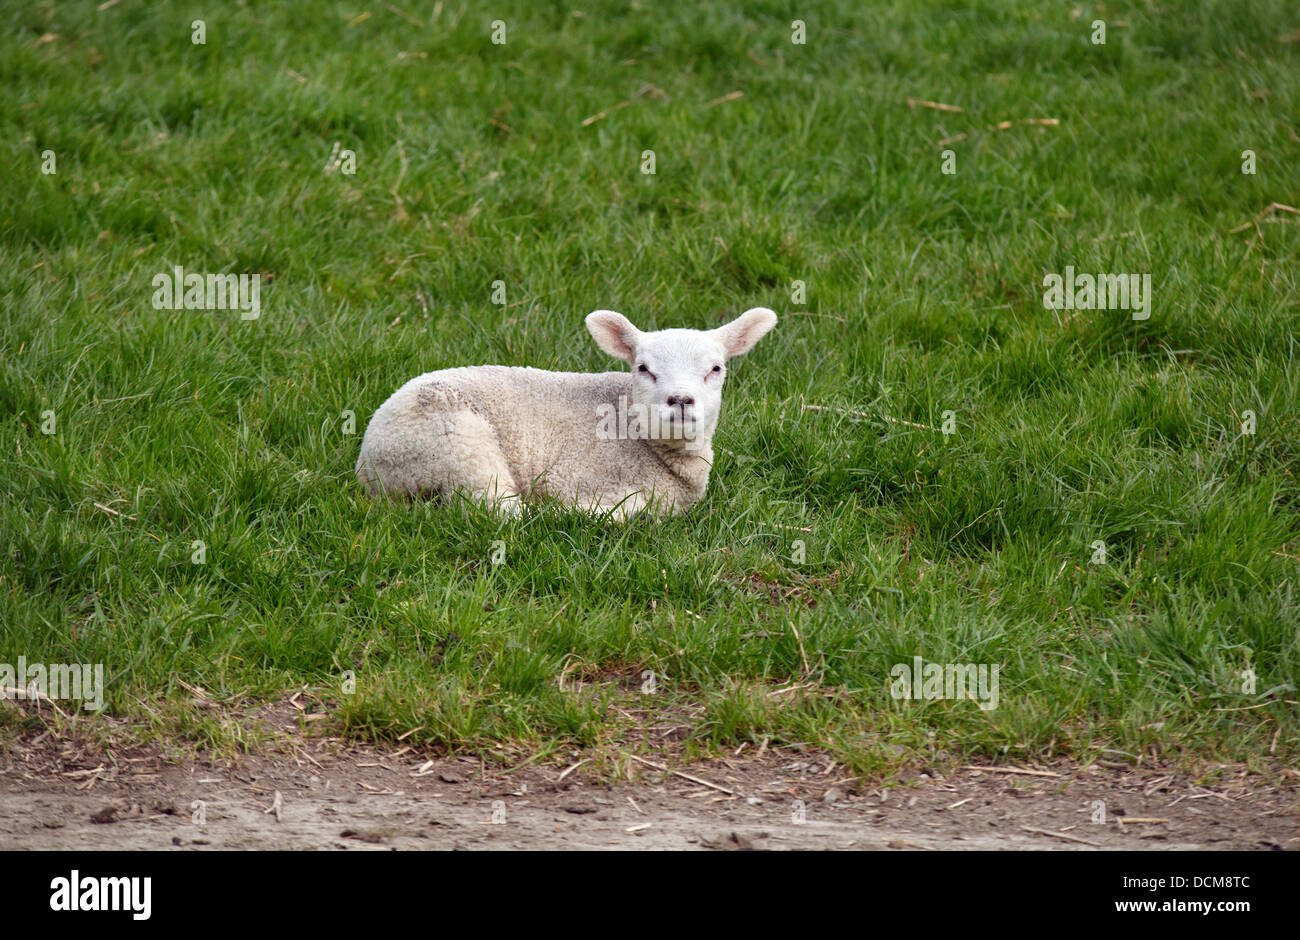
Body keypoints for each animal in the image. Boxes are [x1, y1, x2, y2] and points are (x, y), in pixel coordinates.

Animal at [355, 307, 778, 517]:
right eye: (643, 368)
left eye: (716, 369)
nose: (680, 400)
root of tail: (366, 463)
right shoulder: (571, 476)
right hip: (455, 442)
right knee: (500, 511)